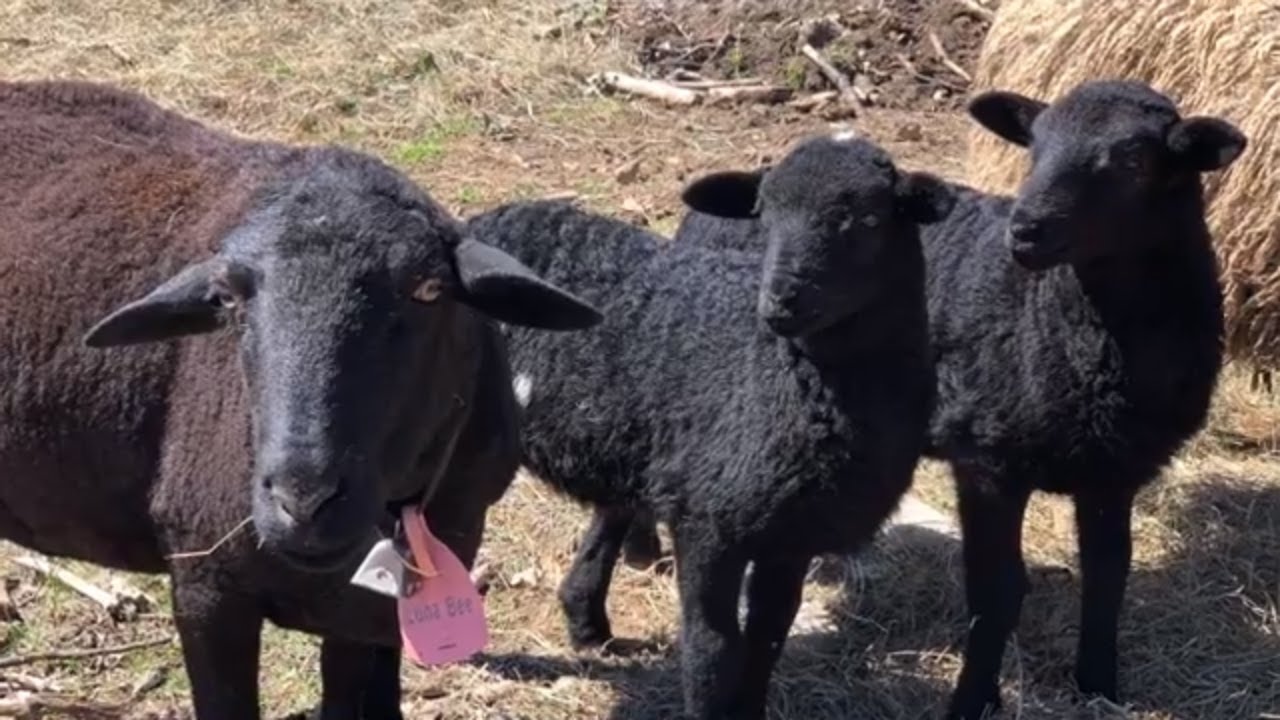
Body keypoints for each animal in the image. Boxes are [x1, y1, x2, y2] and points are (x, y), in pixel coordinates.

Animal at [466, 134, 955, 719]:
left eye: (867, 218)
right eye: (765, 213)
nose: (779, 301)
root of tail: (477, 222)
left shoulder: (792, 534)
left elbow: (769, 635)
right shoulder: (708, 522)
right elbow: (713, 649)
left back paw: (587, 623)